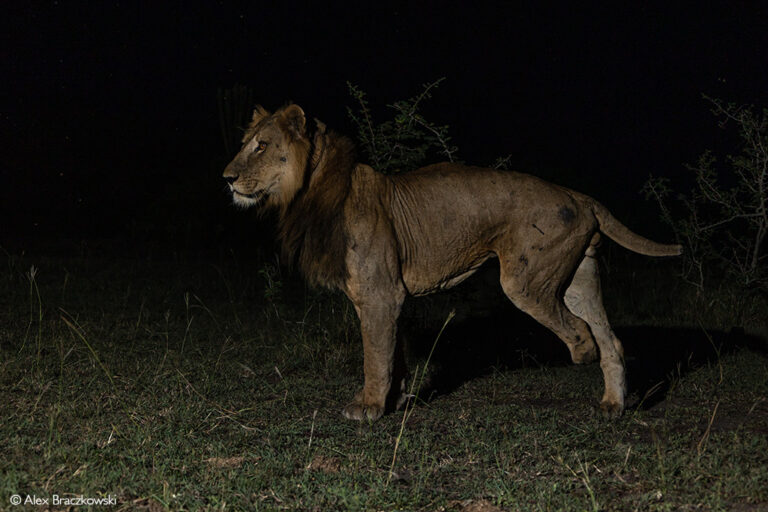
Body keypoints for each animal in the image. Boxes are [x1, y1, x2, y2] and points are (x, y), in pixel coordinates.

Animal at [223, 104, 682, 421]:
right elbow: (395, 353)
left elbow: (376, 355)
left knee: (582, 330)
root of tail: (579, 196)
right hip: (578, 277)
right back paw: (612, 405)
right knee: (612, 341)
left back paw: (582, 353)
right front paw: (395, 400)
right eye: (245, 144)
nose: (226, 178)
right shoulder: (388, 296)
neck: (310, 193)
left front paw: (369, 407)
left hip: (526, 280)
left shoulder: (379, 294)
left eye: (261, 146)